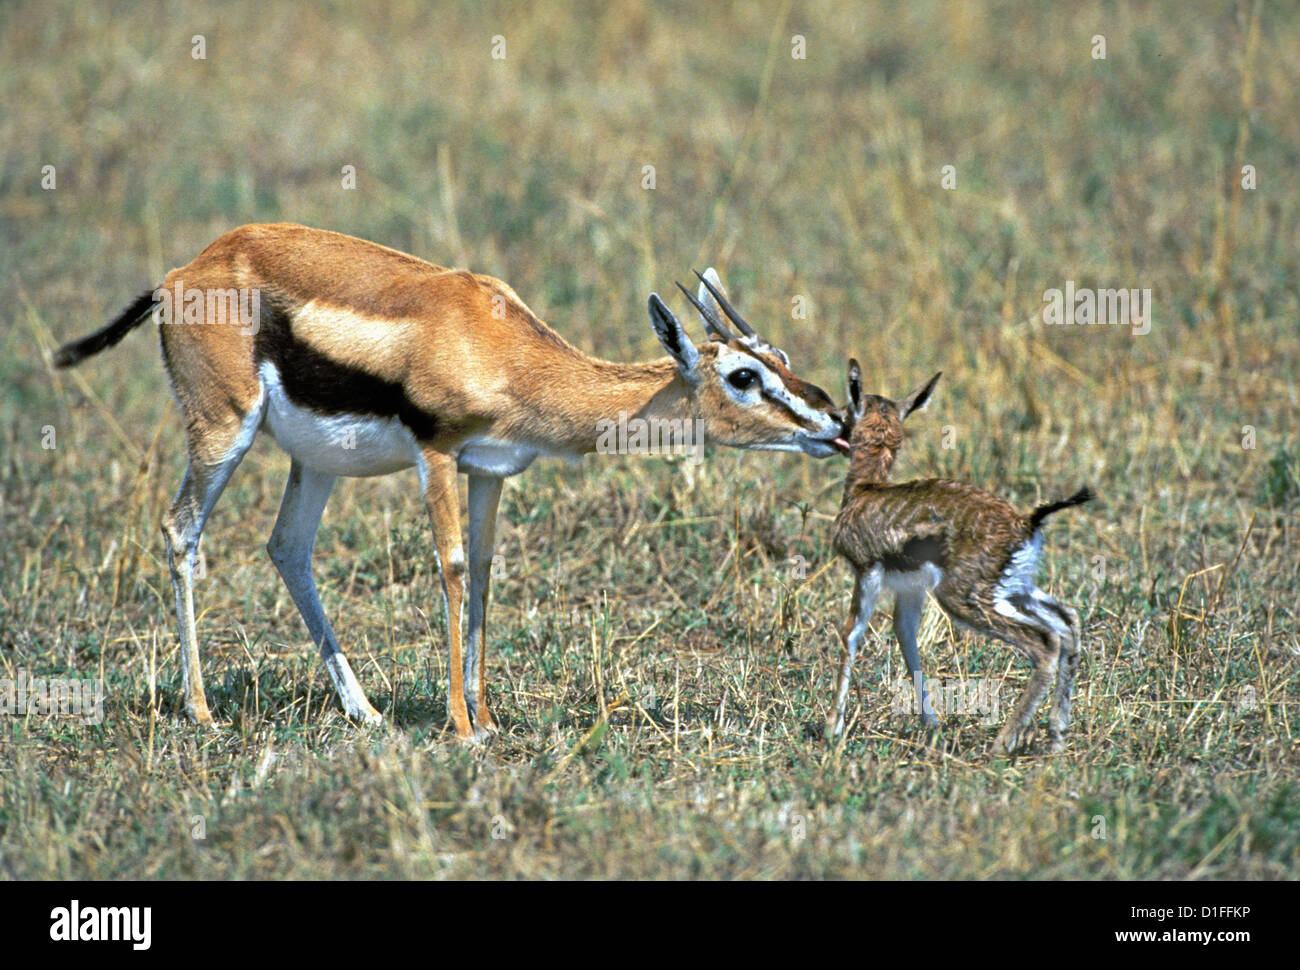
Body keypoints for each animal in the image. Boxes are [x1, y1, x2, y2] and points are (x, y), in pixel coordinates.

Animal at [53, 223, 849, 740]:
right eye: (742, 376)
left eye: (779, 358)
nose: (838, 420)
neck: (503, 349)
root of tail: (182, 274)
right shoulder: (434, 454)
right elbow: (454, 566)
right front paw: (462, 727)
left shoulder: (489, 471)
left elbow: (488, 572)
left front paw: (488, 718)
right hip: (223, 429)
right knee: (181, 530)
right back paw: (201, 712)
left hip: (314, 464)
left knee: (288, 548)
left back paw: (364, 711)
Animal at [829, 360, 1092, 754]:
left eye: (847, 410)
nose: (835, 427)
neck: (865, 491)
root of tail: (1025, 522)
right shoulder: (910, 589)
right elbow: (906, 637)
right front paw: (932, 725)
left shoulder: (866, 574)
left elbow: (851, 634)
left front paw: (831, 728)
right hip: (1012, 591)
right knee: (1067, 621)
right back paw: (1056, 735)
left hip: (962, 599)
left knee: (1045, 643)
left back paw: (1002, 743)